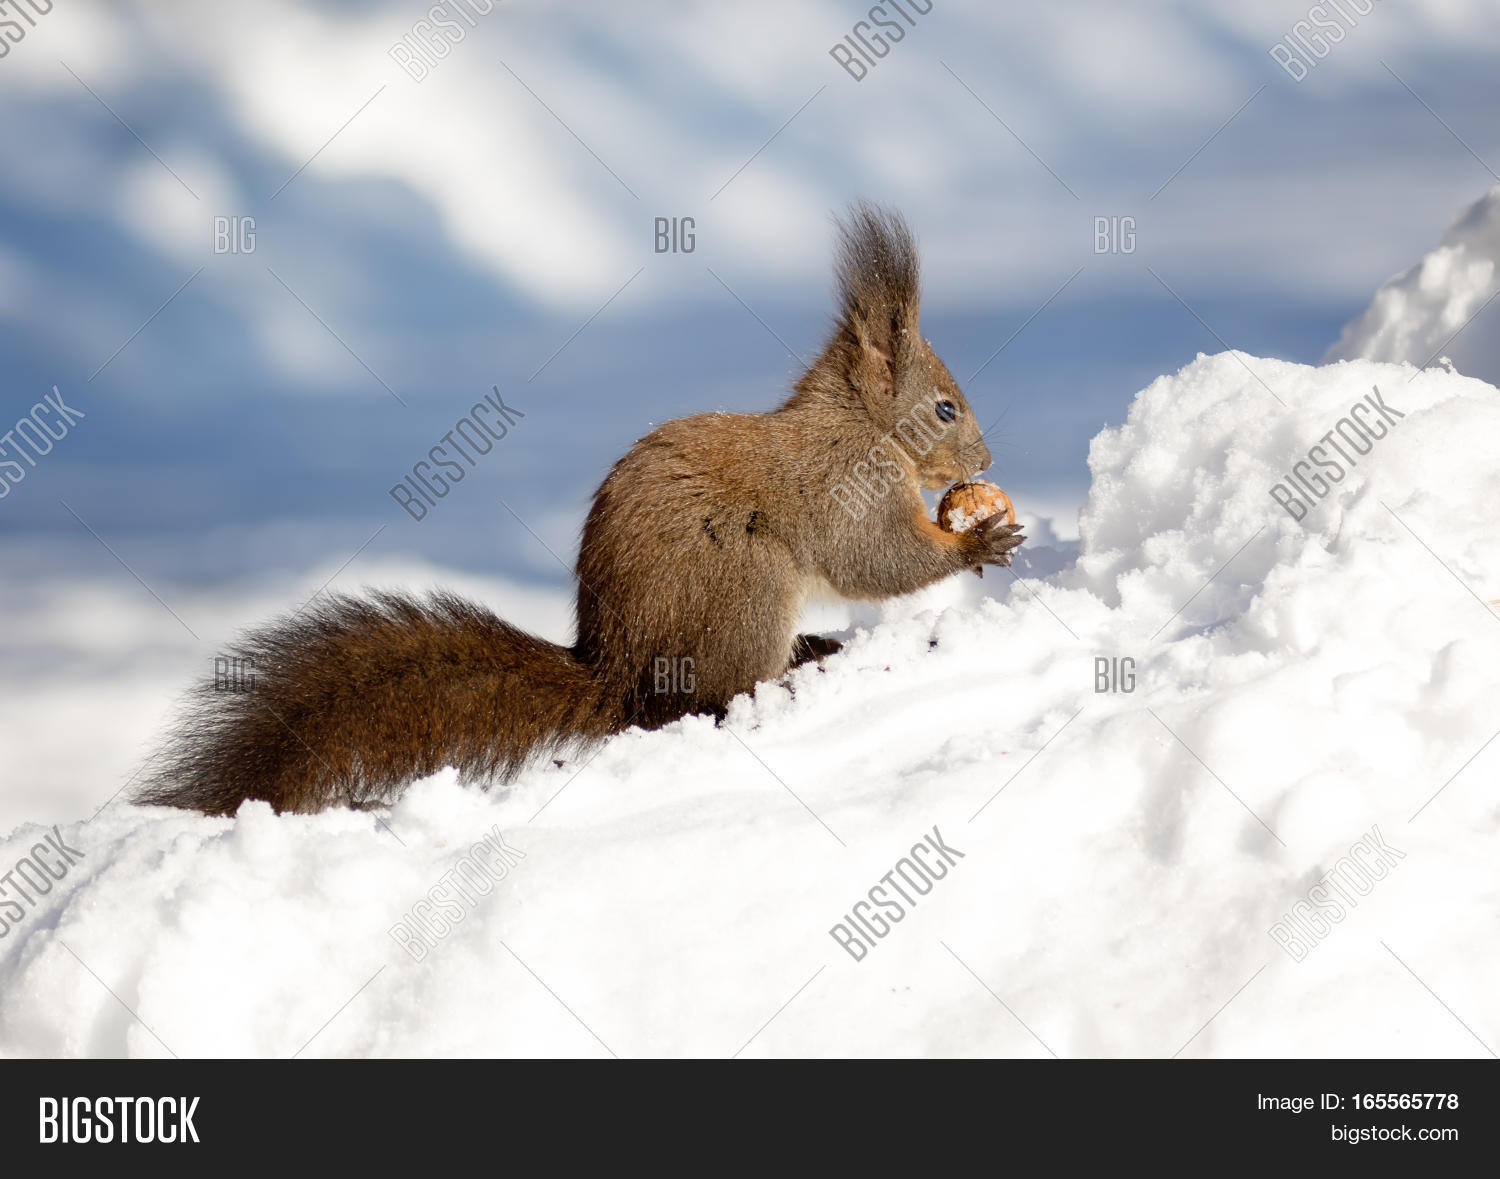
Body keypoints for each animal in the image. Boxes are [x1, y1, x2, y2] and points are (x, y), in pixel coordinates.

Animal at [138, 203, 1024, 816]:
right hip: (747, 582)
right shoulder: (847, 487)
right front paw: (978, 542)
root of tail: (618, 673)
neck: (860, 423)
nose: (985, 463)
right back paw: (792, 666)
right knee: (705, 701)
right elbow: (878, 560)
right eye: (945, 408)